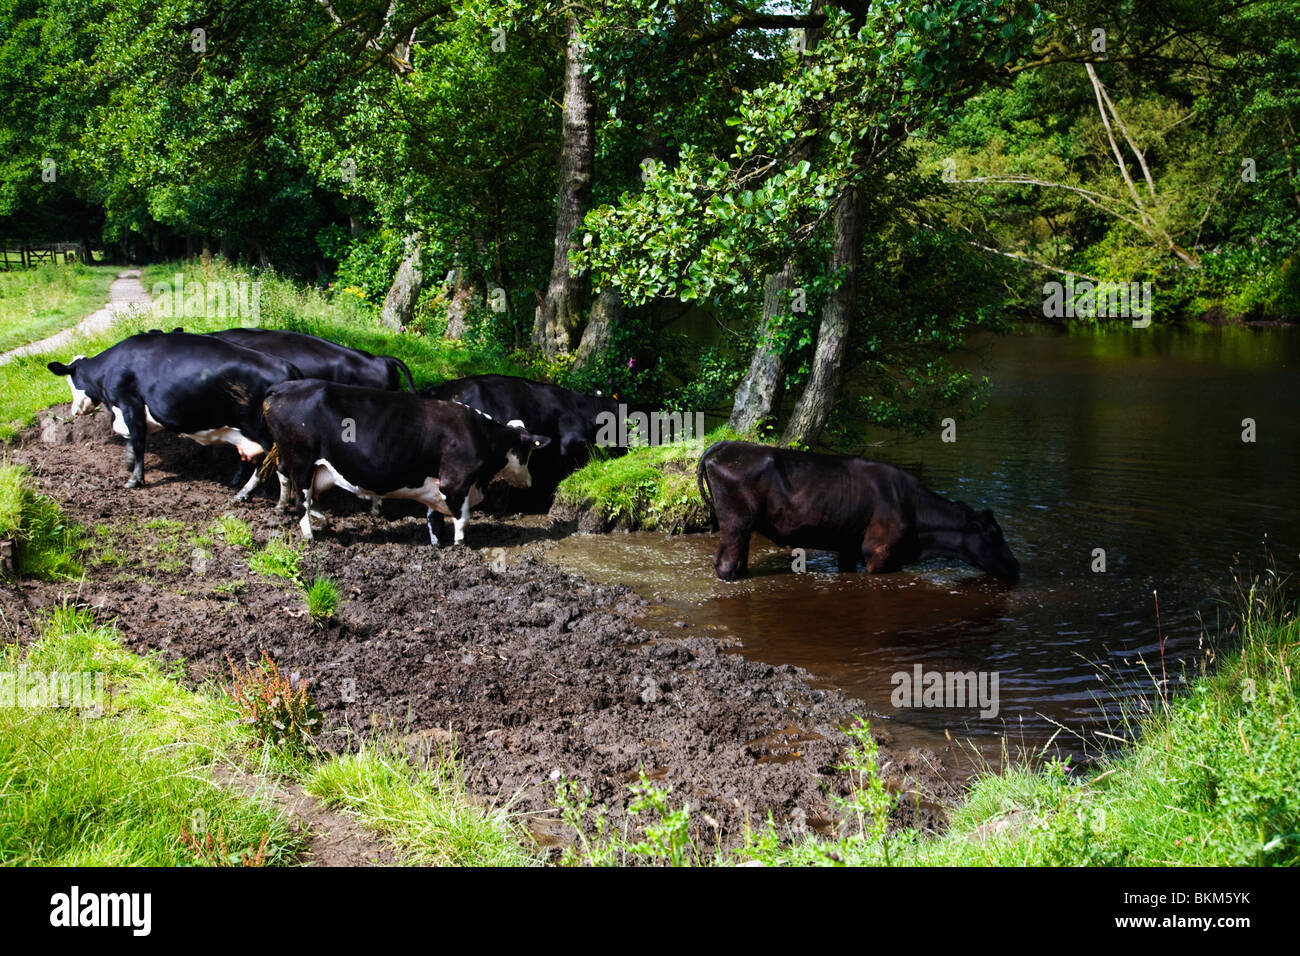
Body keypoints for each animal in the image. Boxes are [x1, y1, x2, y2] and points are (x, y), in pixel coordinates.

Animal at [47, 332, 302, 492]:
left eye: (71, 381)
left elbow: (138, 441)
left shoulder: (130, 404)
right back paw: (244, 491)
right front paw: (128, 461)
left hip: (263, 433)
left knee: (277, 466)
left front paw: (135, 479)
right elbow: (131, 439)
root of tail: (288, 368)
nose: (74, 410)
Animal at [261, 380, 552, 545]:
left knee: (289, 483)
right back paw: (310, 534)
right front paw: (460, 546)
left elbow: (435, 518)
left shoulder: (436, 486)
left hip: (296, 461)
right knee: (302, 499)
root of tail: (284, 387)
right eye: (528, 452)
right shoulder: (455, 482)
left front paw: (437, 544)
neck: (480, 434)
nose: (529, 481)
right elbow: (462, 518)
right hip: (301, 459)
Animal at [696, 440, 1020, 582]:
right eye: (994, 534)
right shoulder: (878, 551)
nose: (1016, 565)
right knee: (725, 564)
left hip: (744, 529)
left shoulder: (848, 545)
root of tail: (724, 445)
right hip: (736, 522)